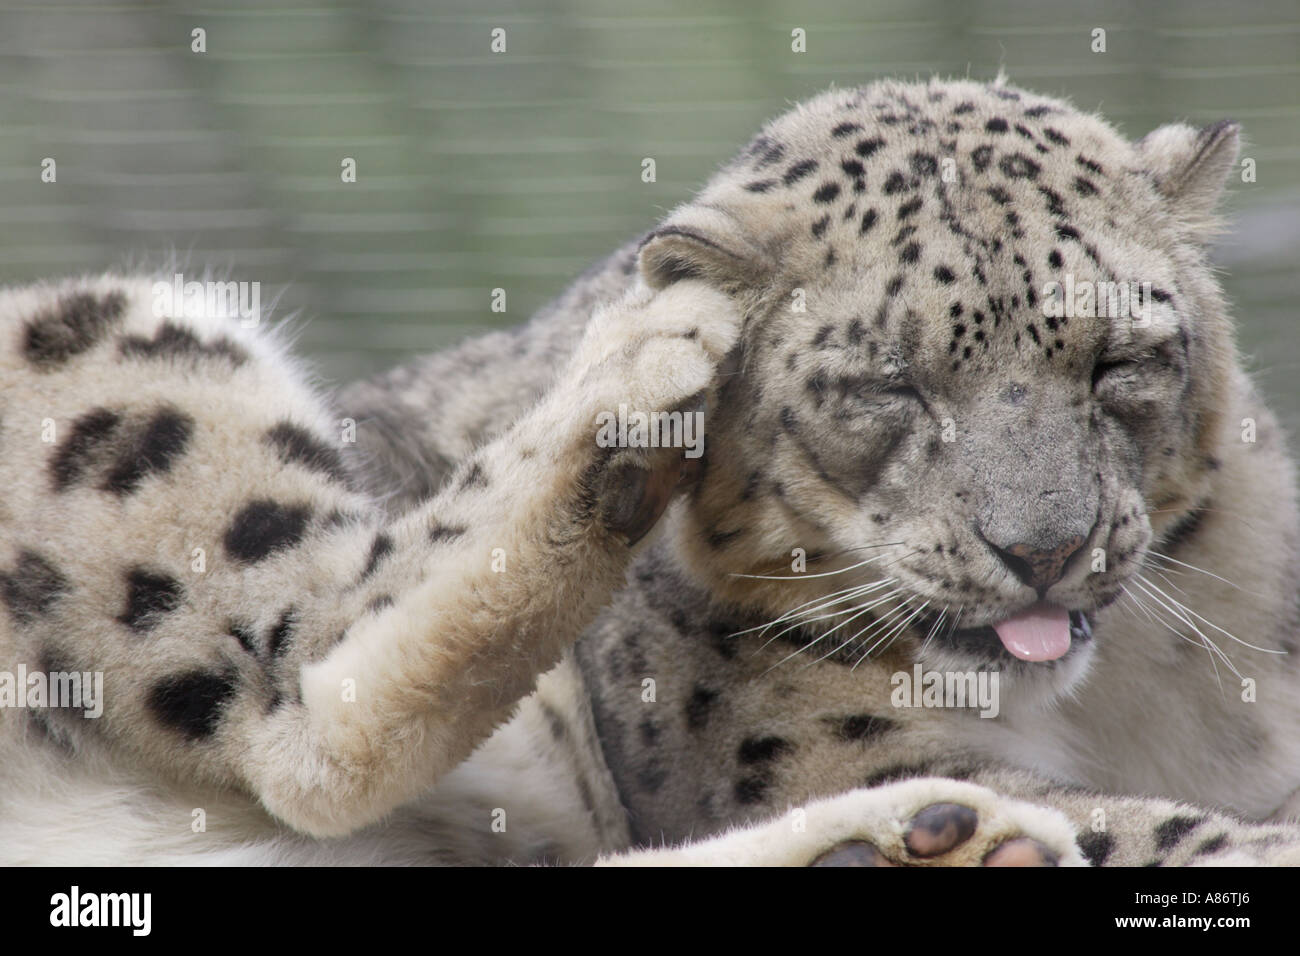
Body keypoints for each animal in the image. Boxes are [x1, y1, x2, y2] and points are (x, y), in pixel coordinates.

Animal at [3, 75, 1300, 867]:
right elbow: (1151, 827)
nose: (1044, 548)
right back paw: (634, 370)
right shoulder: (802, 746)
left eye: (1119, 360)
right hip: (103, 365)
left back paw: (921, 833)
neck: (1113, 697)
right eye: (886, 384)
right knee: (301, 696)